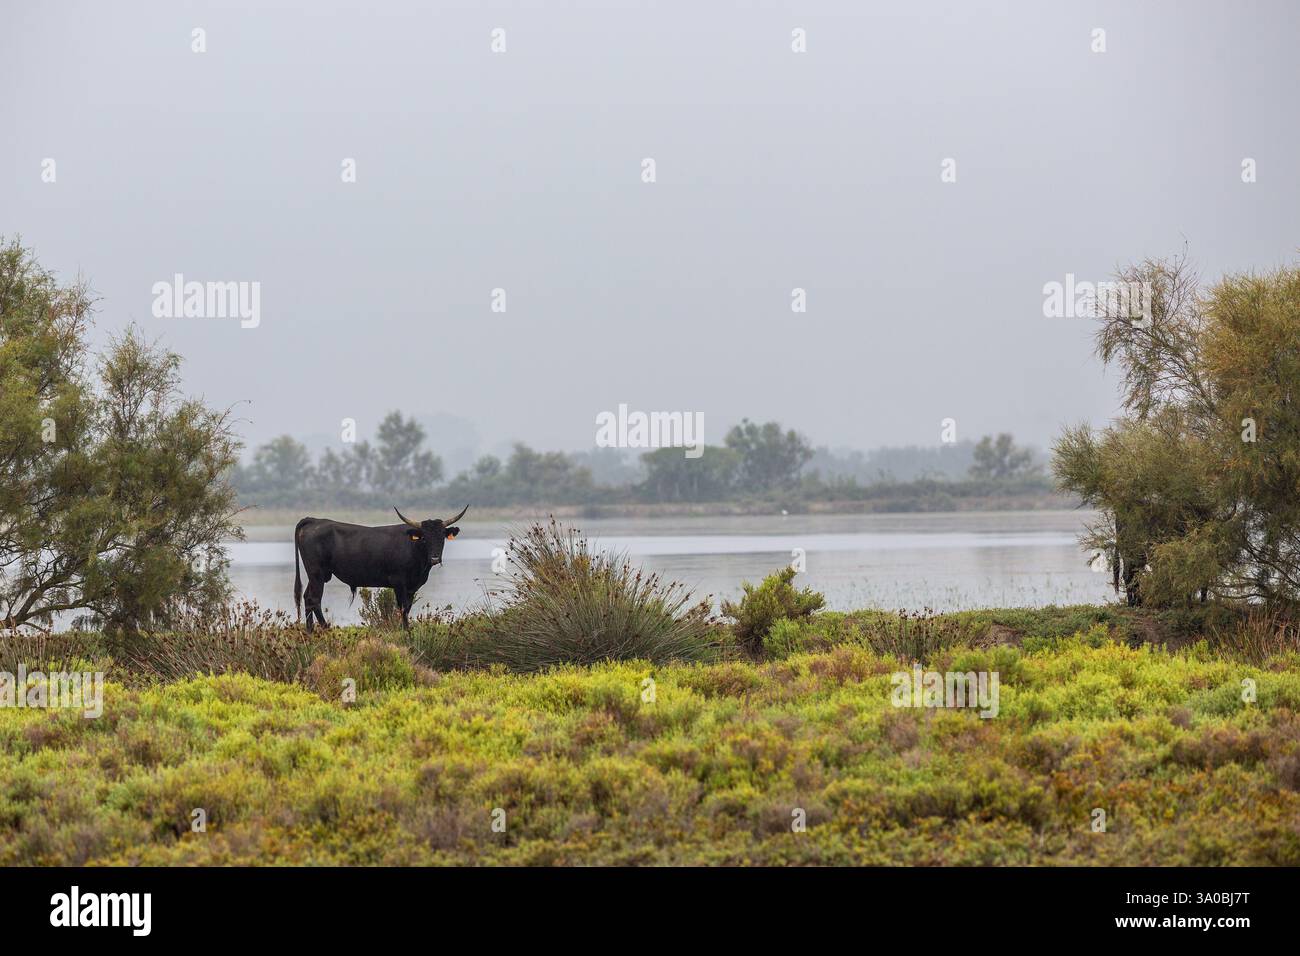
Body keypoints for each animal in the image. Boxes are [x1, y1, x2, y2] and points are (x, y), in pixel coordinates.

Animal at [293, 505, 468, 631]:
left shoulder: (412, 586)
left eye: (442, 537)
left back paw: (310, 631)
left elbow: (408, 607)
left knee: (307, 597)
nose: (434, 558)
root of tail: (313, 520)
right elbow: (403, 608)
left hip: (315, 575)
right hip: (317, 573)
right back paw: (325, 629)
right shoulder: (399, 582)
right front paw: (406, 631)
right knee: (314, 599)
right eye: (424, 538)